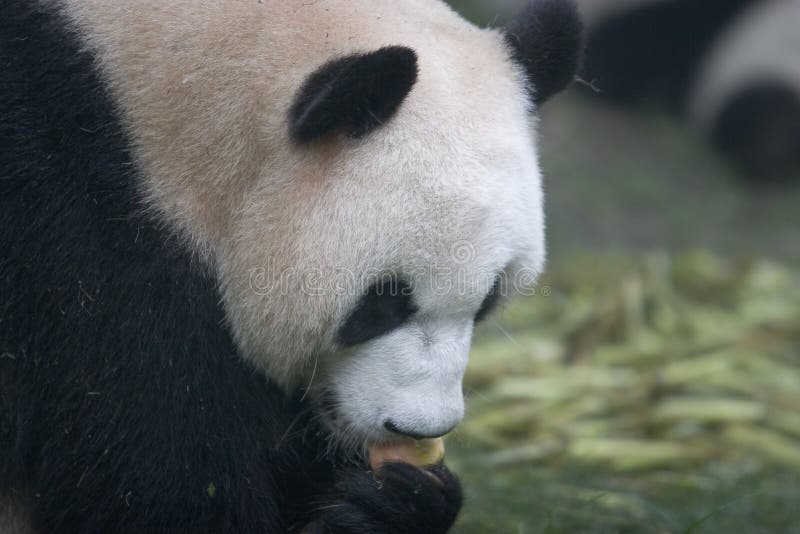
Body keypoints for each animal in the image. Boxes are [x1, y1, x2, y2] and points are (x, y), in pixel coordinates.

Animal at [0, 0, 582, 532]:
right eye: (382, 303)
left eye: (488, 299)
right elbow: (152, 480)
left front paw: (399, 502)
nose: (417, 428)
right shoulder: (81, 233)